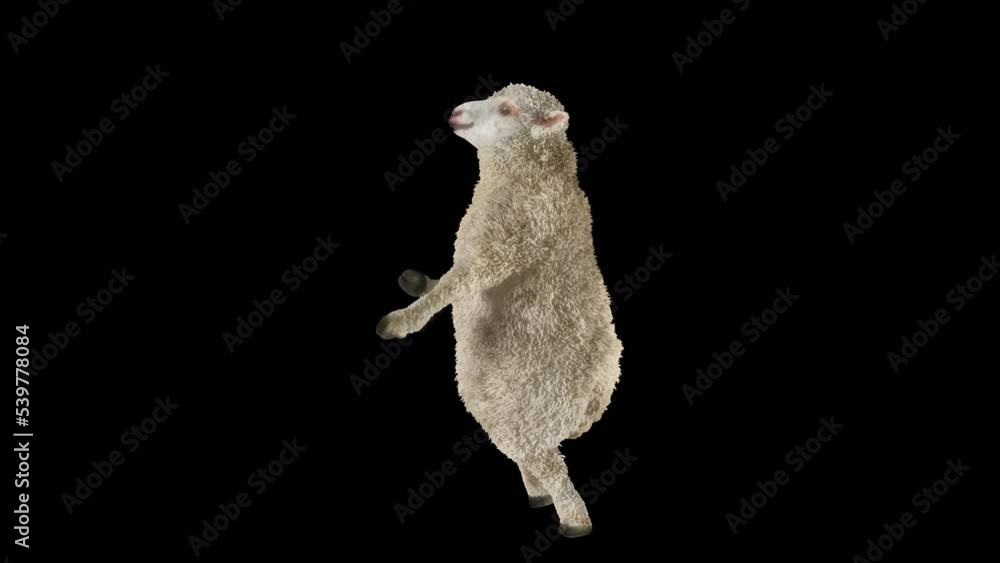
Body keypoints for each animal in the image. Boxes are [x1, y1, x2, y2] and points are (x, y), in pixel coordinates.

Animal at [377, 83, 623, 538]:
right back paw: (539, 494)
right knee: (531, 453)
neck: (533, 174)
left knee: (546, 461)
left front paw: (402, 320)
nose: (456, 113)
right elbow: (450, 284)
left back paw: (573, 521)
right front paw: (418, 283)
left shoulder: (505, 244)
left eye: (507, 109)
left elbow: (459, 283)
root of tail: (594, 398)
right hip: (506, 404)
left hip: (531, 403)